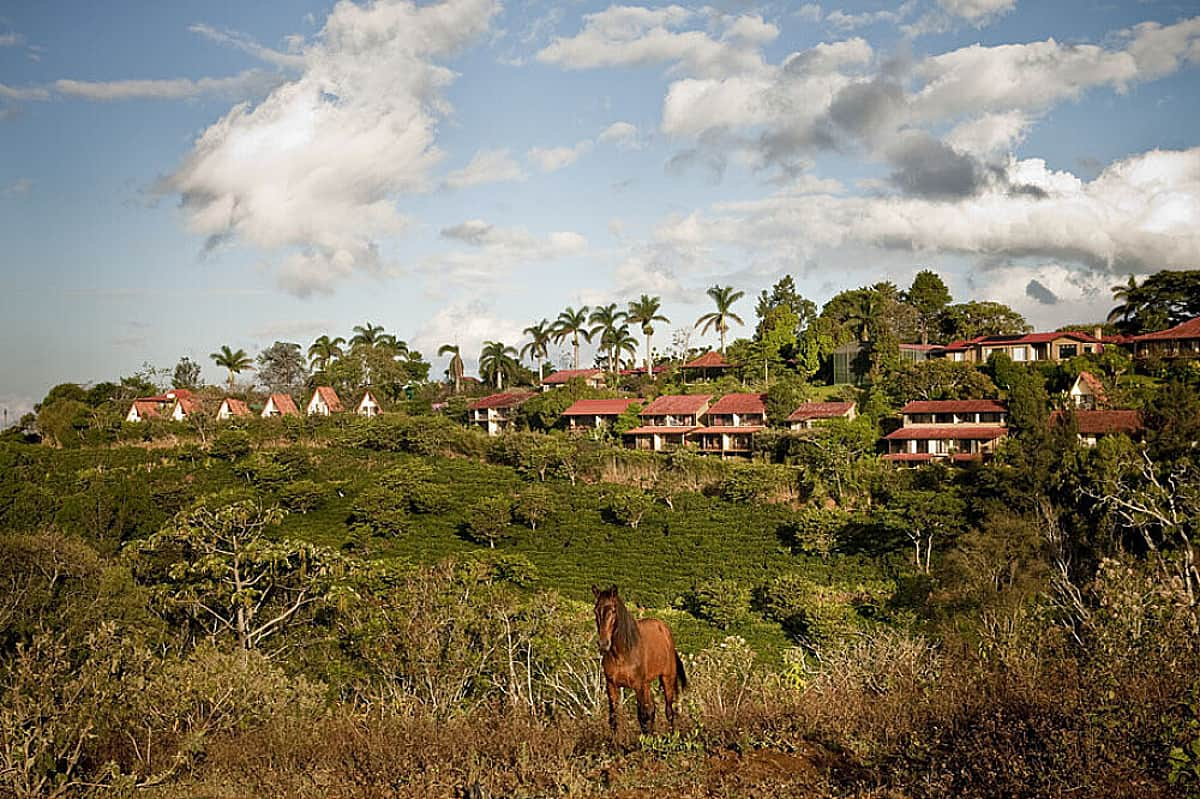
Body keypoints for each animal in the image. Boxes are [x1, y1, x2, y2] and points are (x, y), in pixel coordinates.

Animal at [590, 583, 686, 729]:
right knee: (652, 711)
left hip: (667, 678)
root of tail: (665, 631)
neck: (622, 655)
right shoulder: (611, 686)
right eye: (596, 611)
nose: (603, 643)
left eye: (613, 610)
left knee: (669, 712)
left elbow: (642, 718)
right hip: (647, 684)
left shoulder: (638, 686)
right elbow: (613, 720)